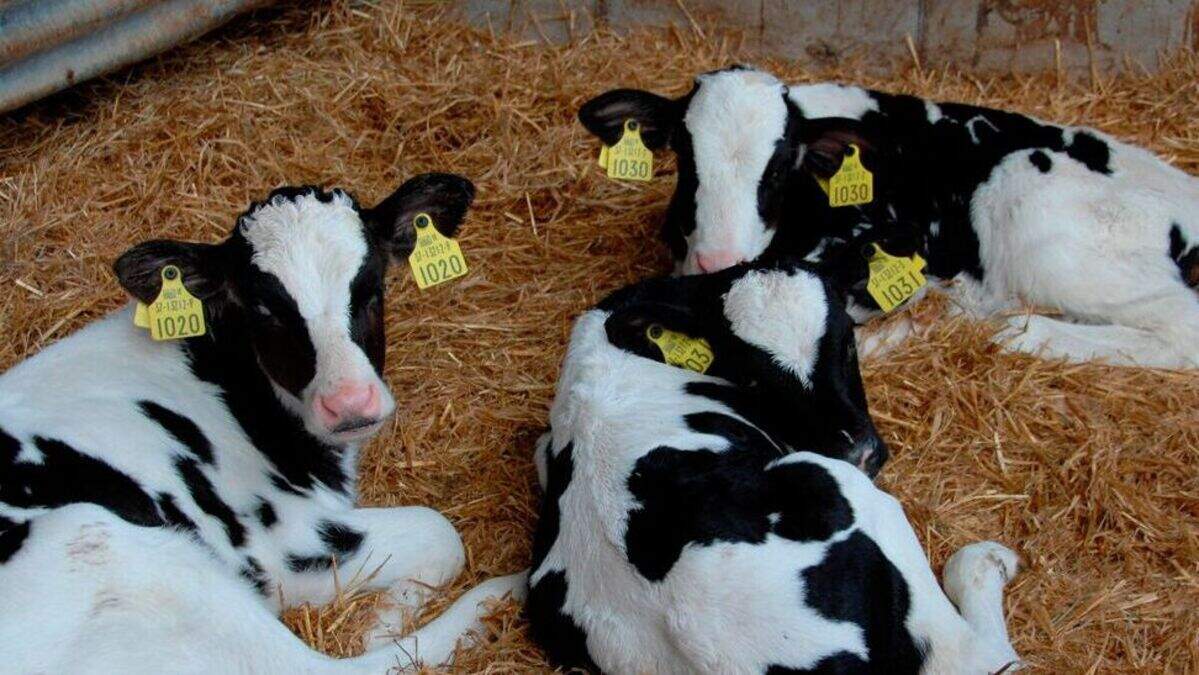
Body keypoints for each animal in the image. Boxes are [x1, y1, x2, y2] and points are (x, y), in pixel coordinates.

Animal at [0, 174, 524, 674]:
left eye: (371, 289)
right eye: (265, 310)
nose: (350, 403)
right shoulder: (281, 543)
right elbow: (440, 532)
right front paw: (384, 620)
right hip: (126, 554)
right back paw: (501, 596)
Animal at [526, 257, 1022, 674]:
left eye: (844, 344)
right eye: (753, 377)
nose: (860, 452)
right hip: (844, 490)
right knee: (982, 654)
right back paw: (989, 562)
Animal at [578, 66, 1199, 369]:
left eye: (780, 168)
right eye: (686, 156)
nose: (718, 259)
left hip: (1034, 209)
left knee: (1180, 329)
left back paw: (1012, 330)